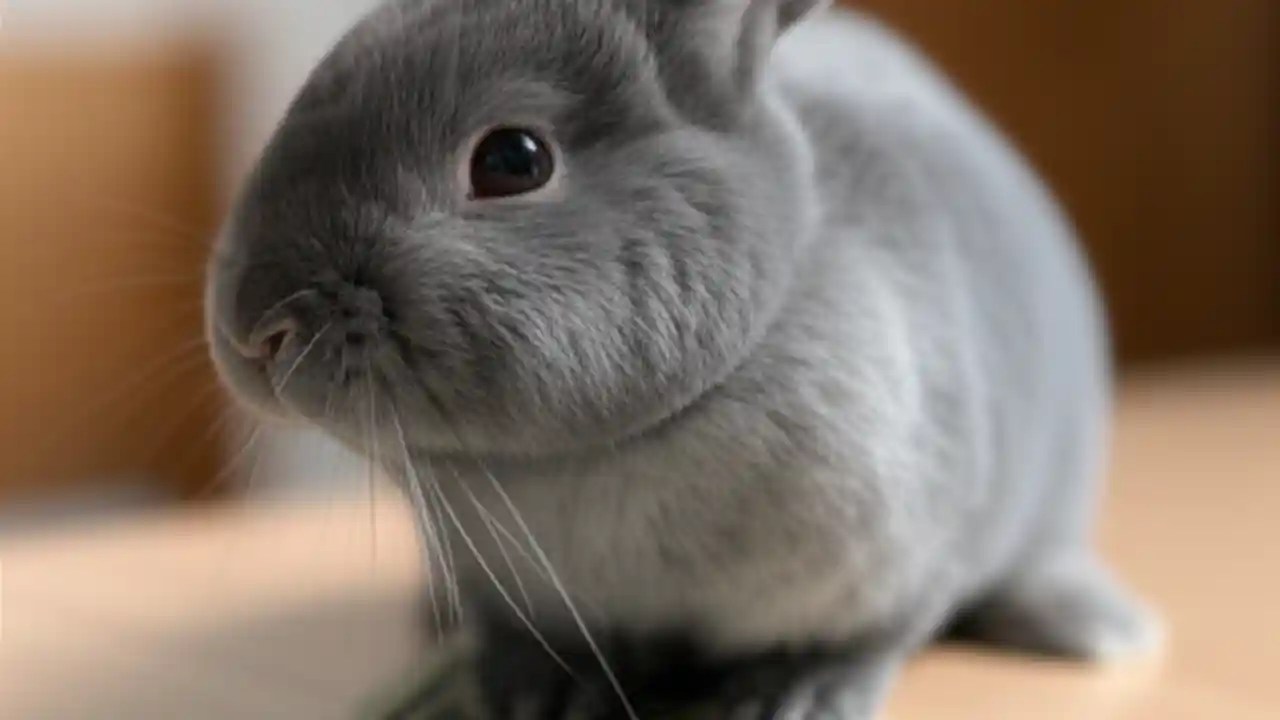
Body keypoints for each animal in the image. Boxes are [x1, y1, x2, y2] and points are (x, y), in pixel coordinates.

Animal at [205, 0, 1162, 717]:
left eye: (513, 160)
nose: (255, 332)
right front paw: (538, 695)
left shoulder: (908, 550)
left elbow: (871, 638)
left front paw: (793, 697)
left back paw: (1100, 630)